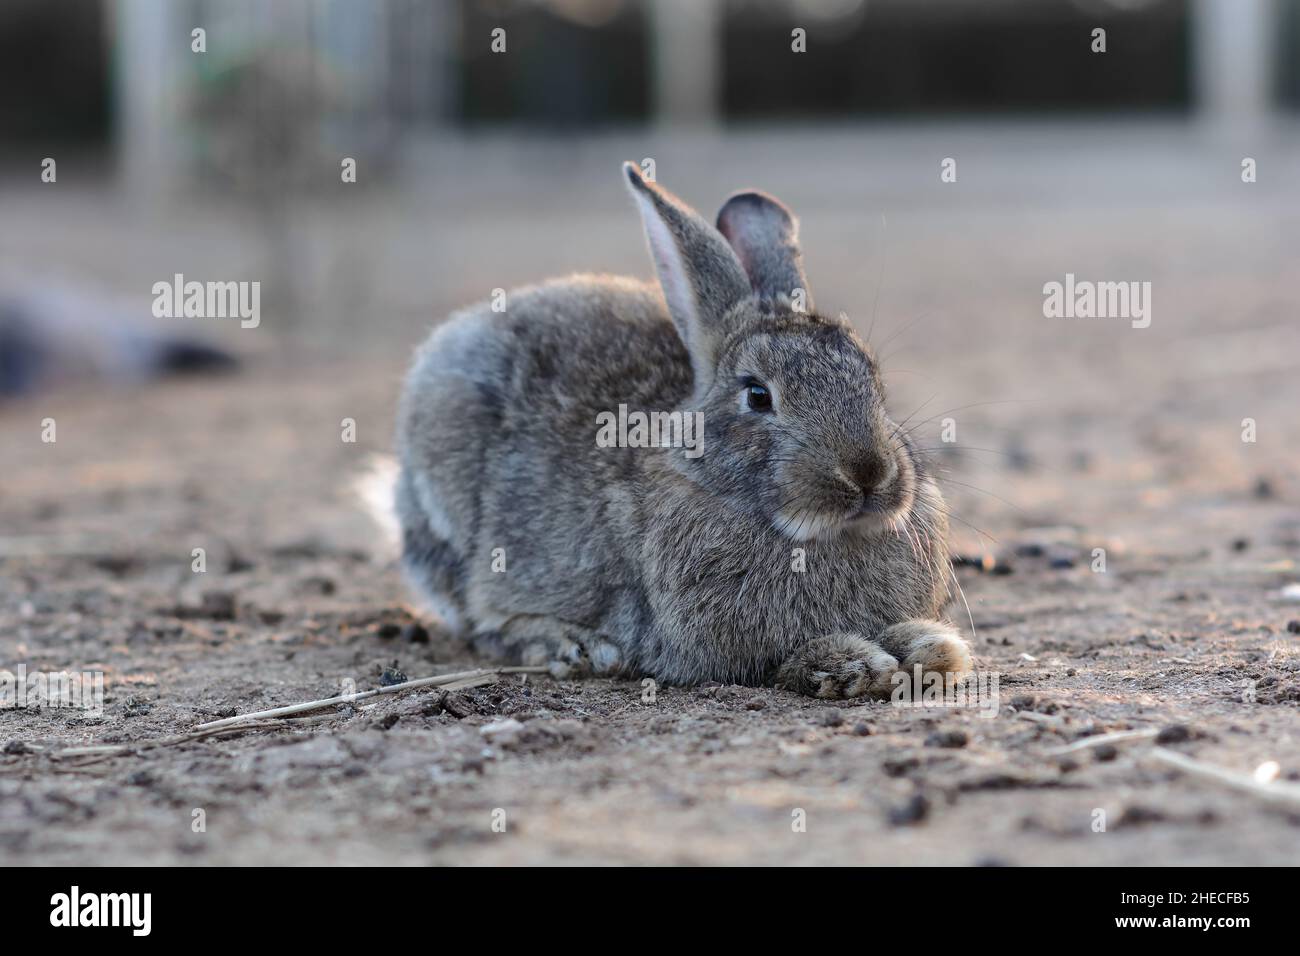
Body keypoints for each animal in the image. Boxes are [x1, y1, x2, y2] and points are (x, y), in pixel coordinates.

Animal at [394, 162, 973, 699]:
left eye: (872, 378)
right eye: (757, 395)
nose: (868, 473)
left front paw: (933, 649)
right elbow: (789, 658)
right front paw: (857, 663)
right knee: (481, 615)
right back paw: (573, 645)